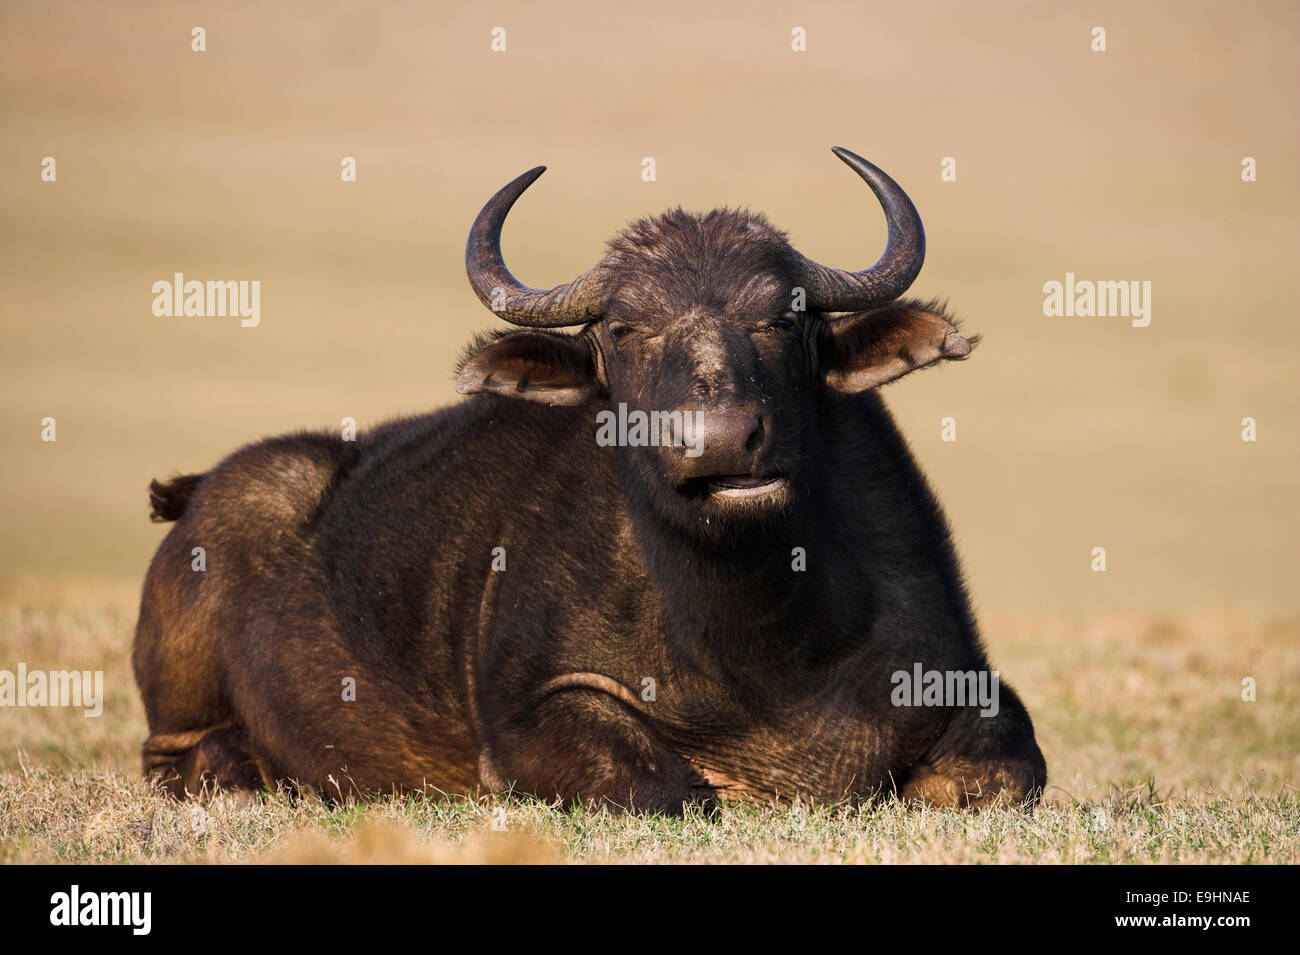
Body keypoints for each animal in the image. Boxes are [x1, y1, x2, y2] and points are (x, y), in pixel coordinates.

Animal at [134, 147, 1046, 811]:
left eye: (783, 317)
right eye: (624, 327)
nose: (719, 439)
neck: (762, 642)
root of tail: (198, 490)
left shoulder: (967, 684)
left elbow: (1003, 769)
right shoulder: (534, 715)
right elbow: (670, 785)